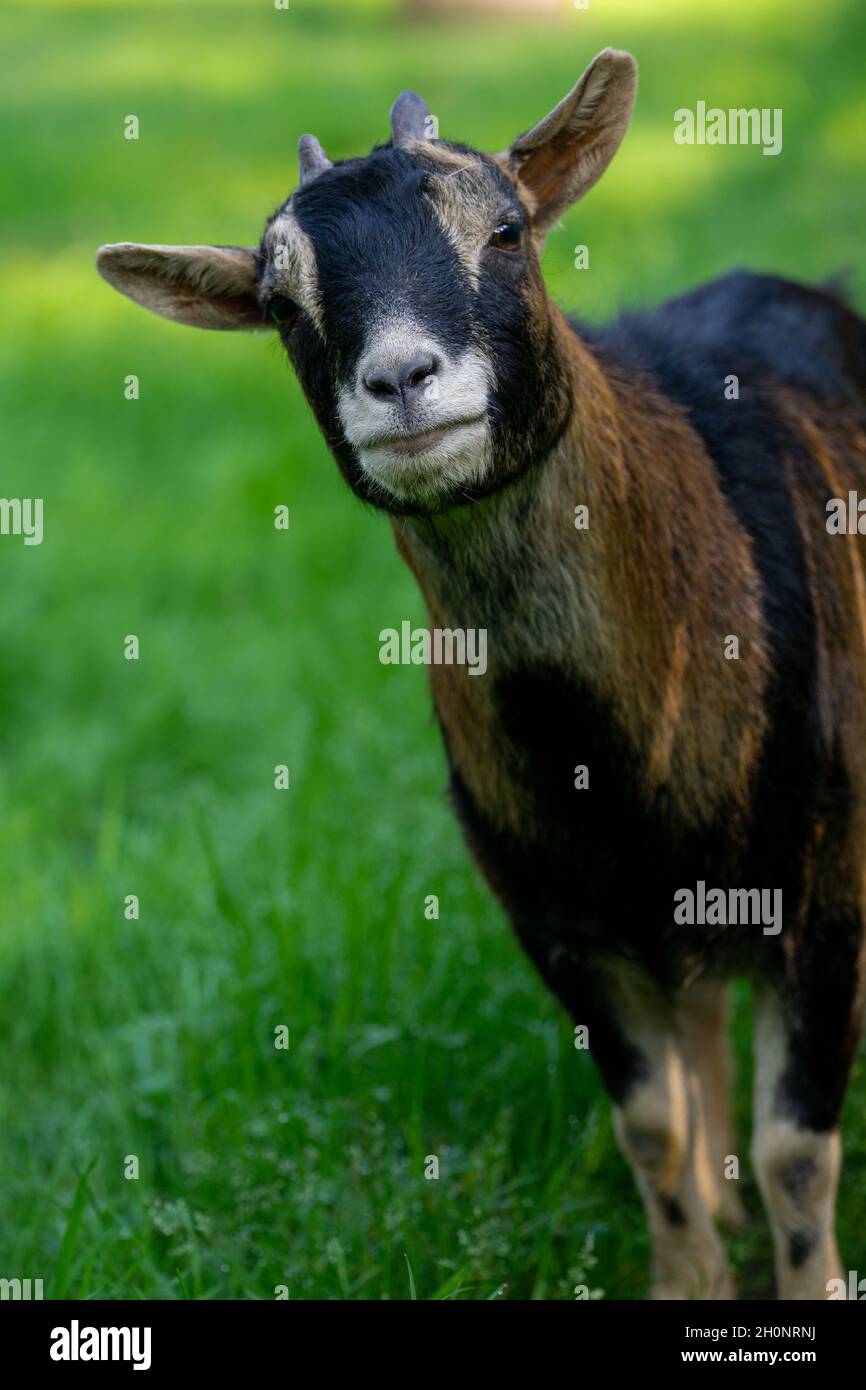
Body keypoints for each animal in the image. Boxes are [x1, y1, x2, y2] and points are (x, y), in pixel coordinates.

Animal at [96, 48, 866, 1300]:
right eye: (278, 302)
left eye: (505, 230)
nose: (402, 379)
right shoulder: (554, 916)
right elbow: (650, 1122)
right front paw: (687, 1275)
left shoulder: (825, 886)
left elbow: (798, 1149)